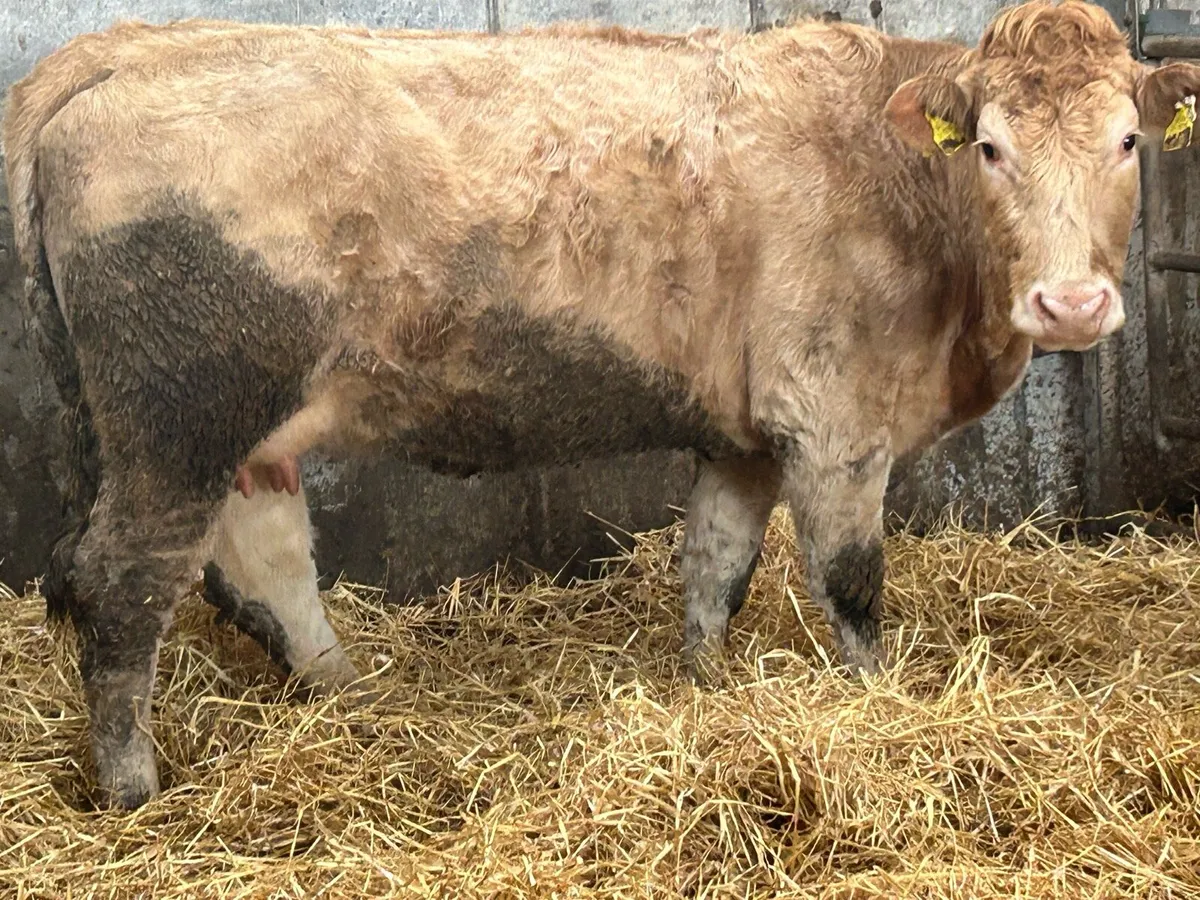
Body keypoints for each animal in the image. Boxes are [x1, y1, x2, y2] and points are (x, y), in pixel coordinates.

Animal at [3, 0, 1197, 809]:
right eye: (990, 145)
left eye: (1127, 142)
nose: (1073, 302)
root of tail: (125, 45)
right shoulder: (836, 416)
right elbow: (851, 580)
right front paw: (881, 706)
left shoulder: (744, 432)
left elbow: (717, 565)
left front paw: (707, 684)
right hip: (178, 418)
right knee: (121, 585)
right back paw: (135, 789)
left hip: (244, 427)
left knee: (264, 562)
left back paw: (352, 697)